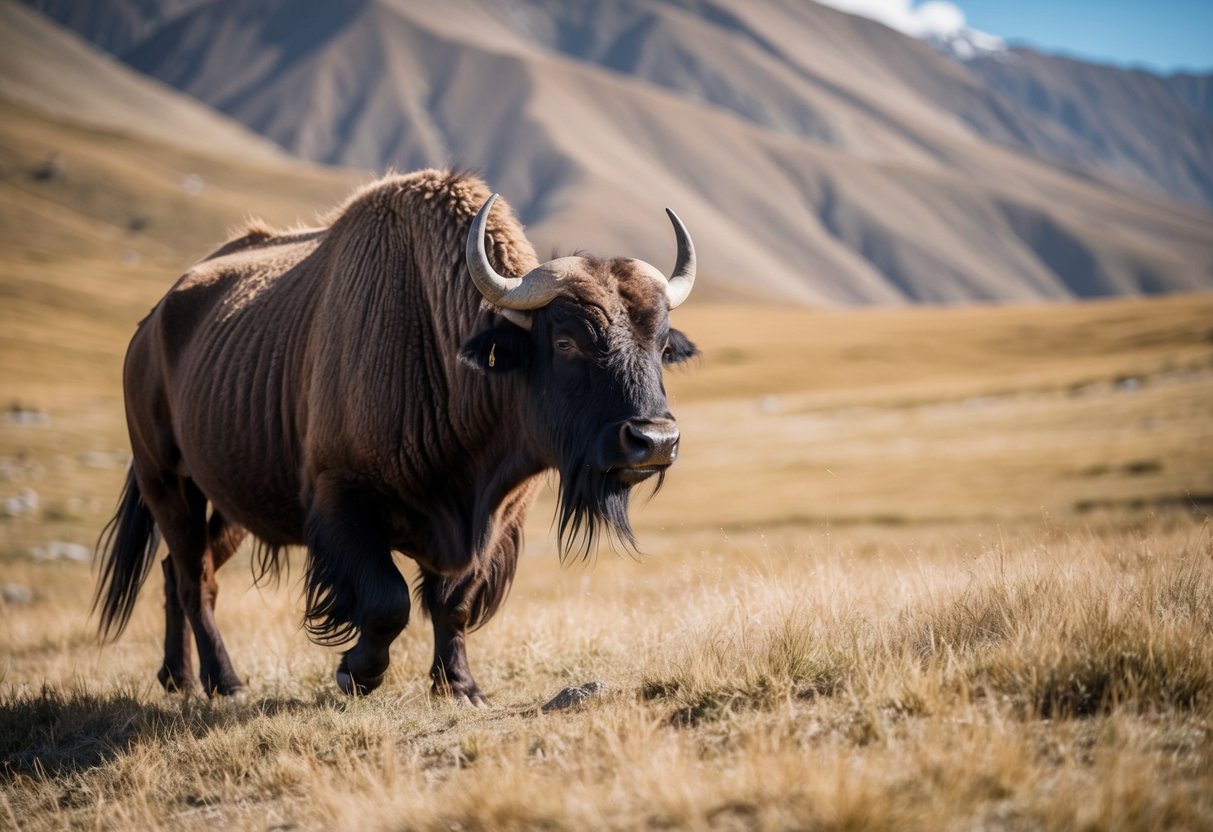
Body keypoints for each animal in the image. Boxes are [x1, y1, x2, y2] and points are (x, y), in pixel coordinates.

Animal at [94, 170, 698, 703]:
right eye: (567, 341)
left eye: (660, 343)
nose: (654, 441)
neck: (444, 356)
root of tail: (149, 328)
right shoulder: (342, 504)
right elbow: (388, 604)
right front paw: (356, 673)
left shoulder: (493, 524)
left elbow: (453, 603)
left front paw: (460, 687)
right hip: (167, 482)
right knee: (195, 581)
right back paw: (226, 682)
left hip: (227, 507)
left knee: (177, 573)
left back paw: (178, 677)